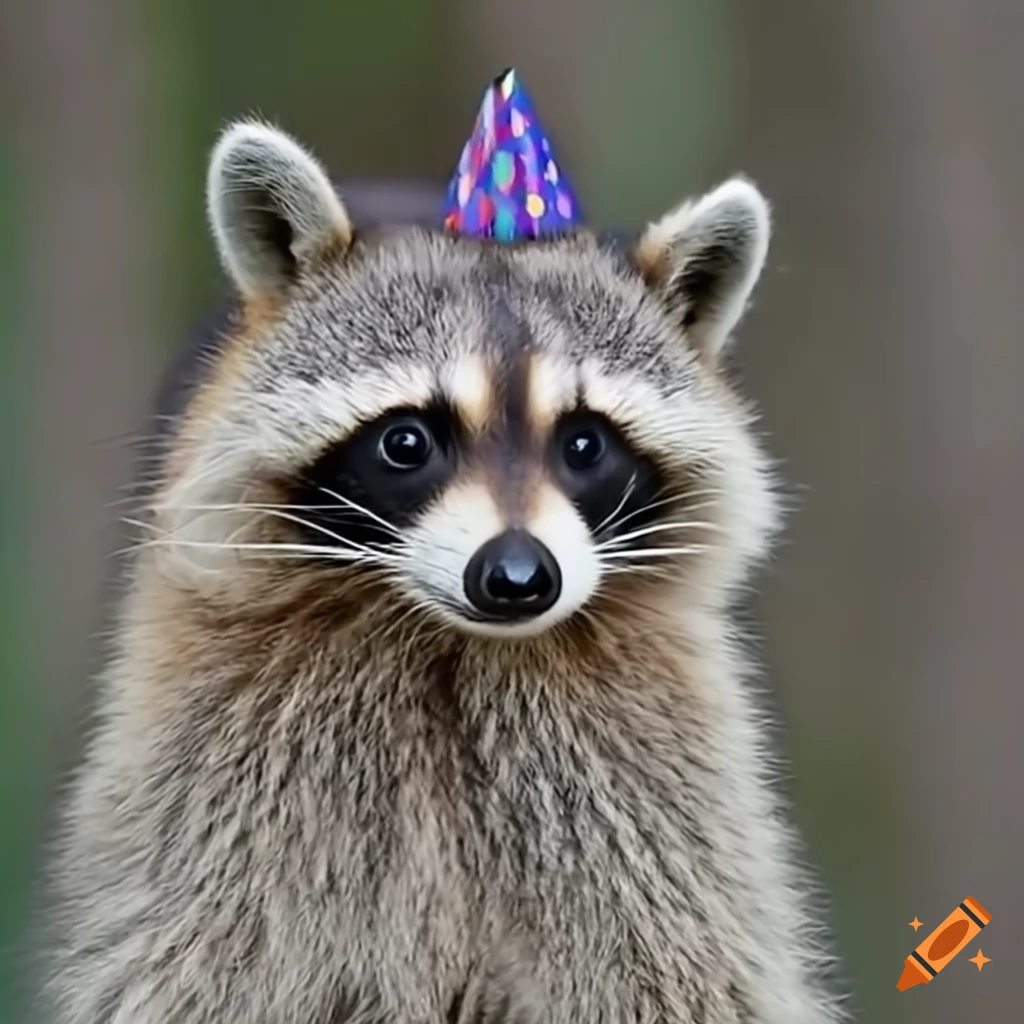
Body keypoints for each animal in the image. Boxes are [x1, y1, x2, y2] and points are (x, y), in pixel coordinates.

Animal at [40, 120, 843, 1024]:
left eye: (585, 444)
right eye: (407, 441)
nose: (518, 577)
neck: (446, 642)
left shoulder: (645, 797)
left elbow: (680, 970)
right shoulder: (225, 792)